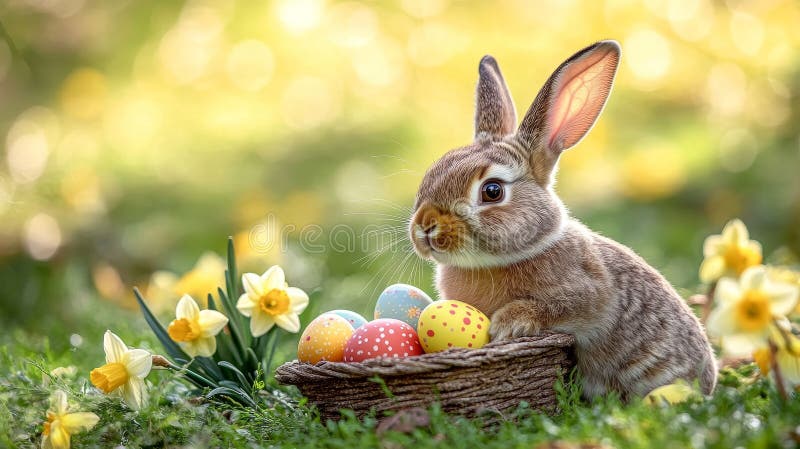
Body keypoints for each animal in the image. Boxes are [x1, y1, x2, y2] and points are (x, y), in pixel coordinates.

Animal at [408, 40, 717, 399]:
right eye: (431, 173)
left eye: (492, 191)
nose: (425, 226)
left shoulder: (591, 296)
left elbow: (556, 307)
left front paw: (507, 325)